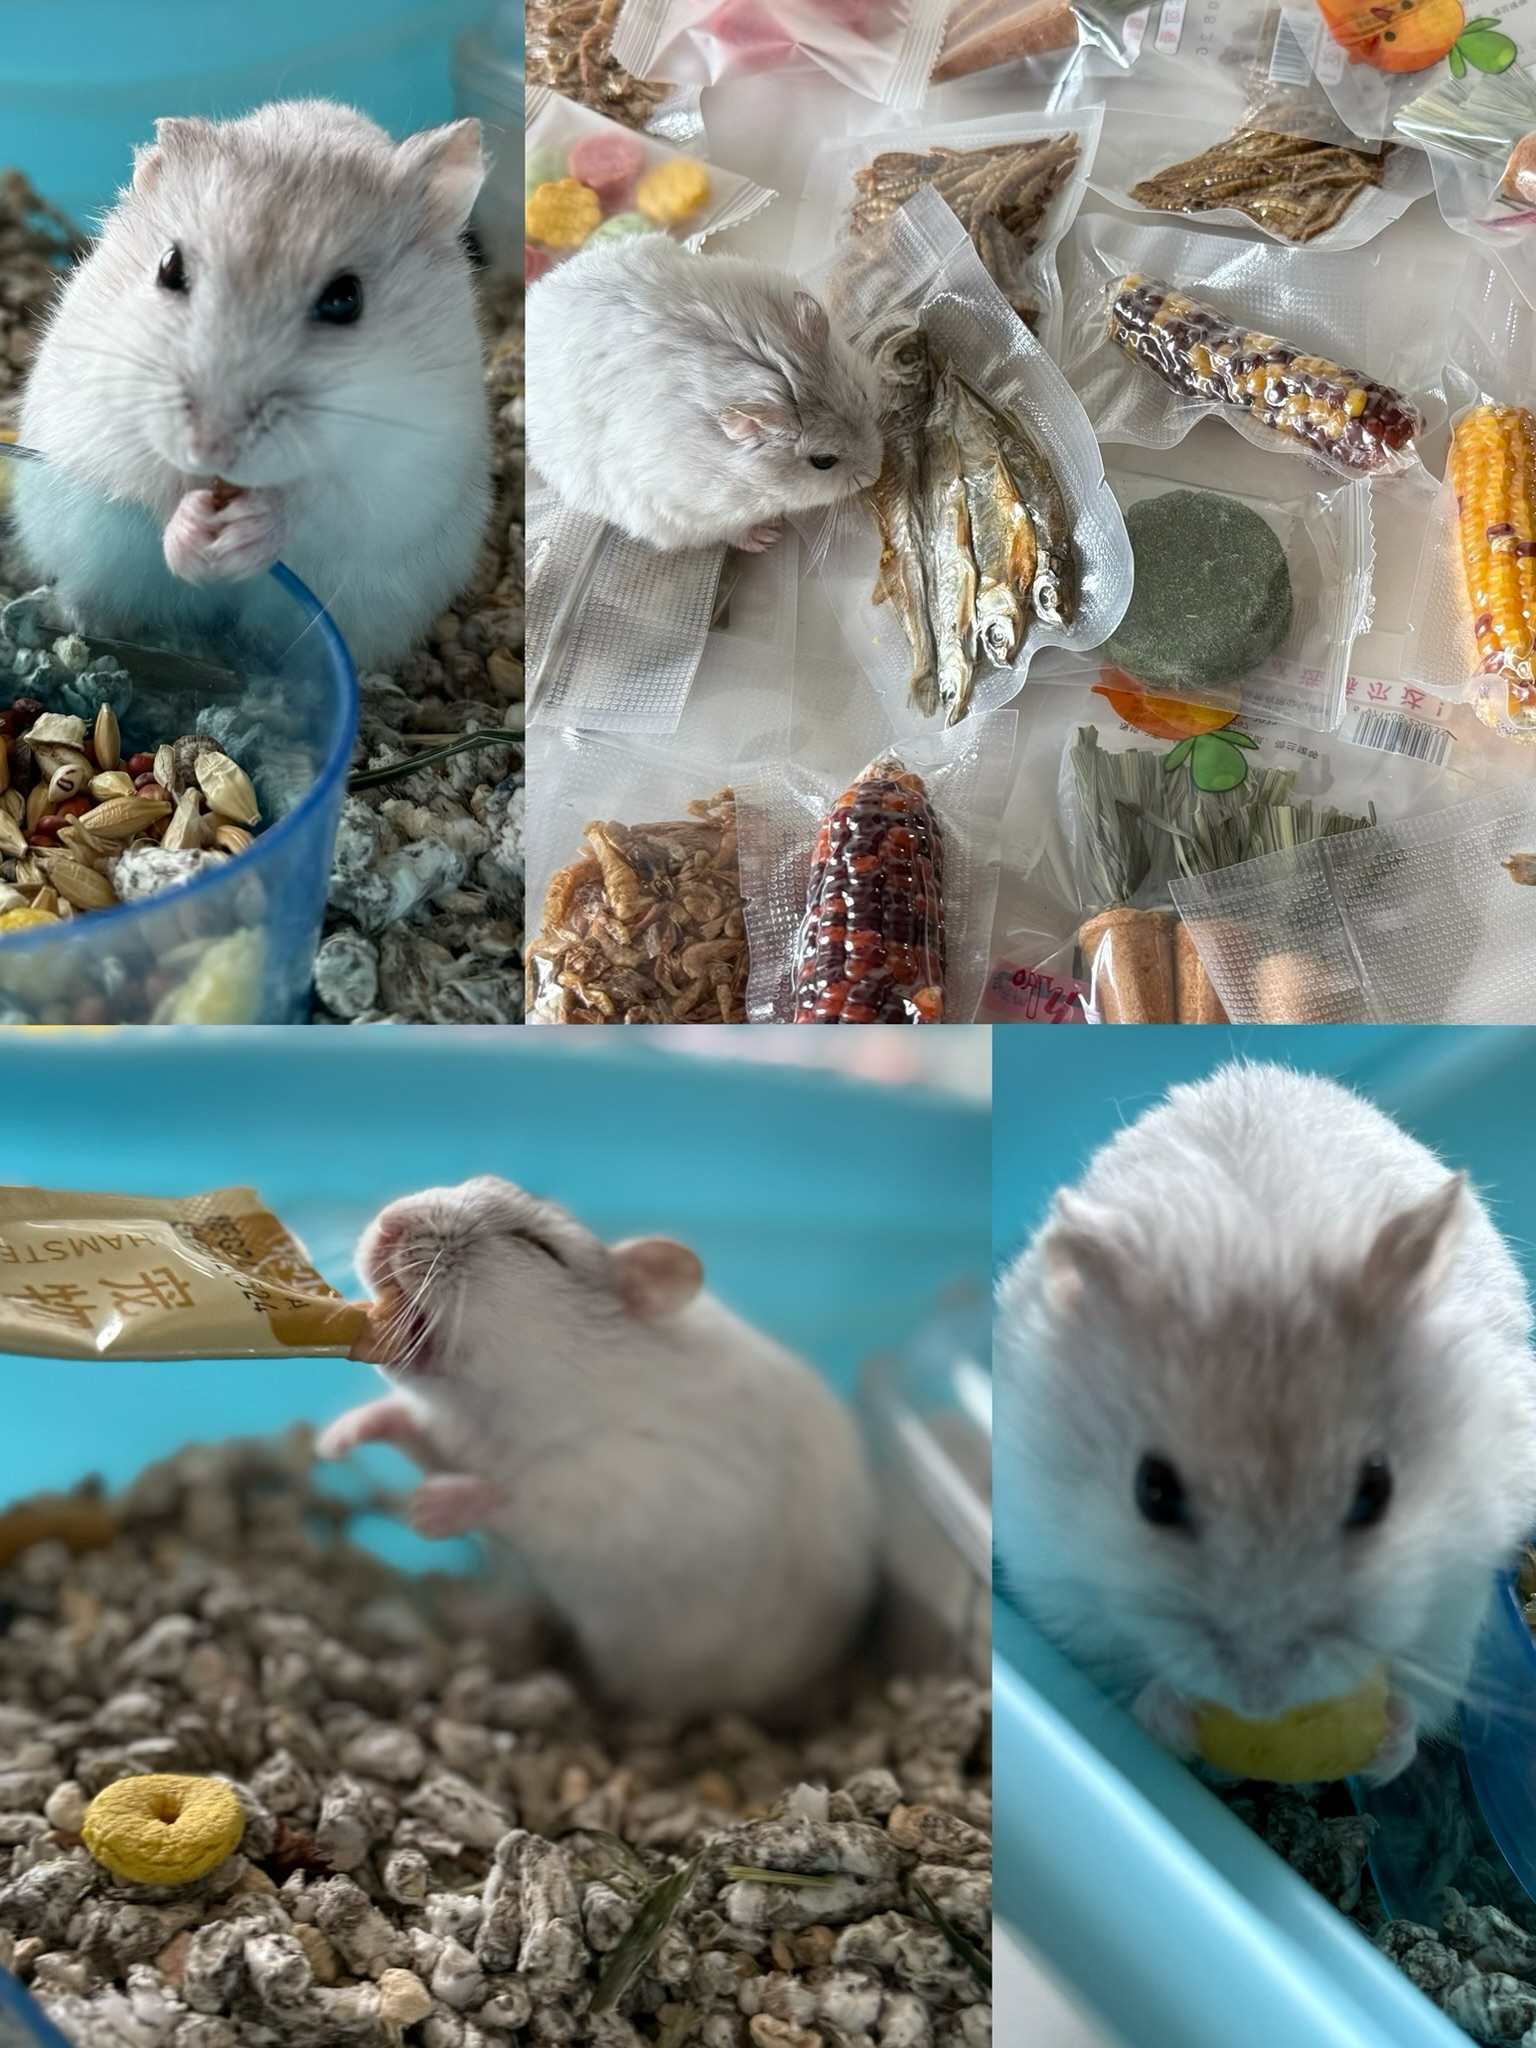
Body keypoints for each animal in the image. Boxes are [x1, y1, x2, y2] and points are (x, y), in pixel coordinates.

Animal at [14, 99, 491, 670]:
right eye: (169, 267)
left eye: (345, 299)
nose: (208, 449)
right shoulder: (98, 412)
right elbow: (150, 484)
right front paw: (194, 533)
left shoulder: (404, 465)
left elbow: (317, 506)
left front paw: (241, 534)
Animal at [318, 1176, 878, 1719]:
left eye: (538, 1245)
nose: (388, 1222)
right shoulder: (456, 1443)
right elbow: (415, 1433)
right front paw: (337, 1439)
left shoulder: (635, 1497)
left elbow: (528, 1497)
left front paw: (427, 1510)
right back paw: (471, 1614)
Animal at [525, 234, 883, 553]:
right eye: (823, 461)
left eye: (866, 398)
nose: (876, 473)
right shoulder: (690, 513)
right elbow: (733, 531)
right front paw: (768, 536)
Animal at [994, 1062, 1536, 1785]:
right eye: (1151, 1492)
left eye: (1378, 1491)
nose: (1260, 1700)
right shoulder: (1060, 1584)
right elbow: (1131, 1677)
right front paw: (1173, 1712)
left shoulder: (1457, 1585)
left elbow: (1426, 1693)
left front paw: (1387, 1746)